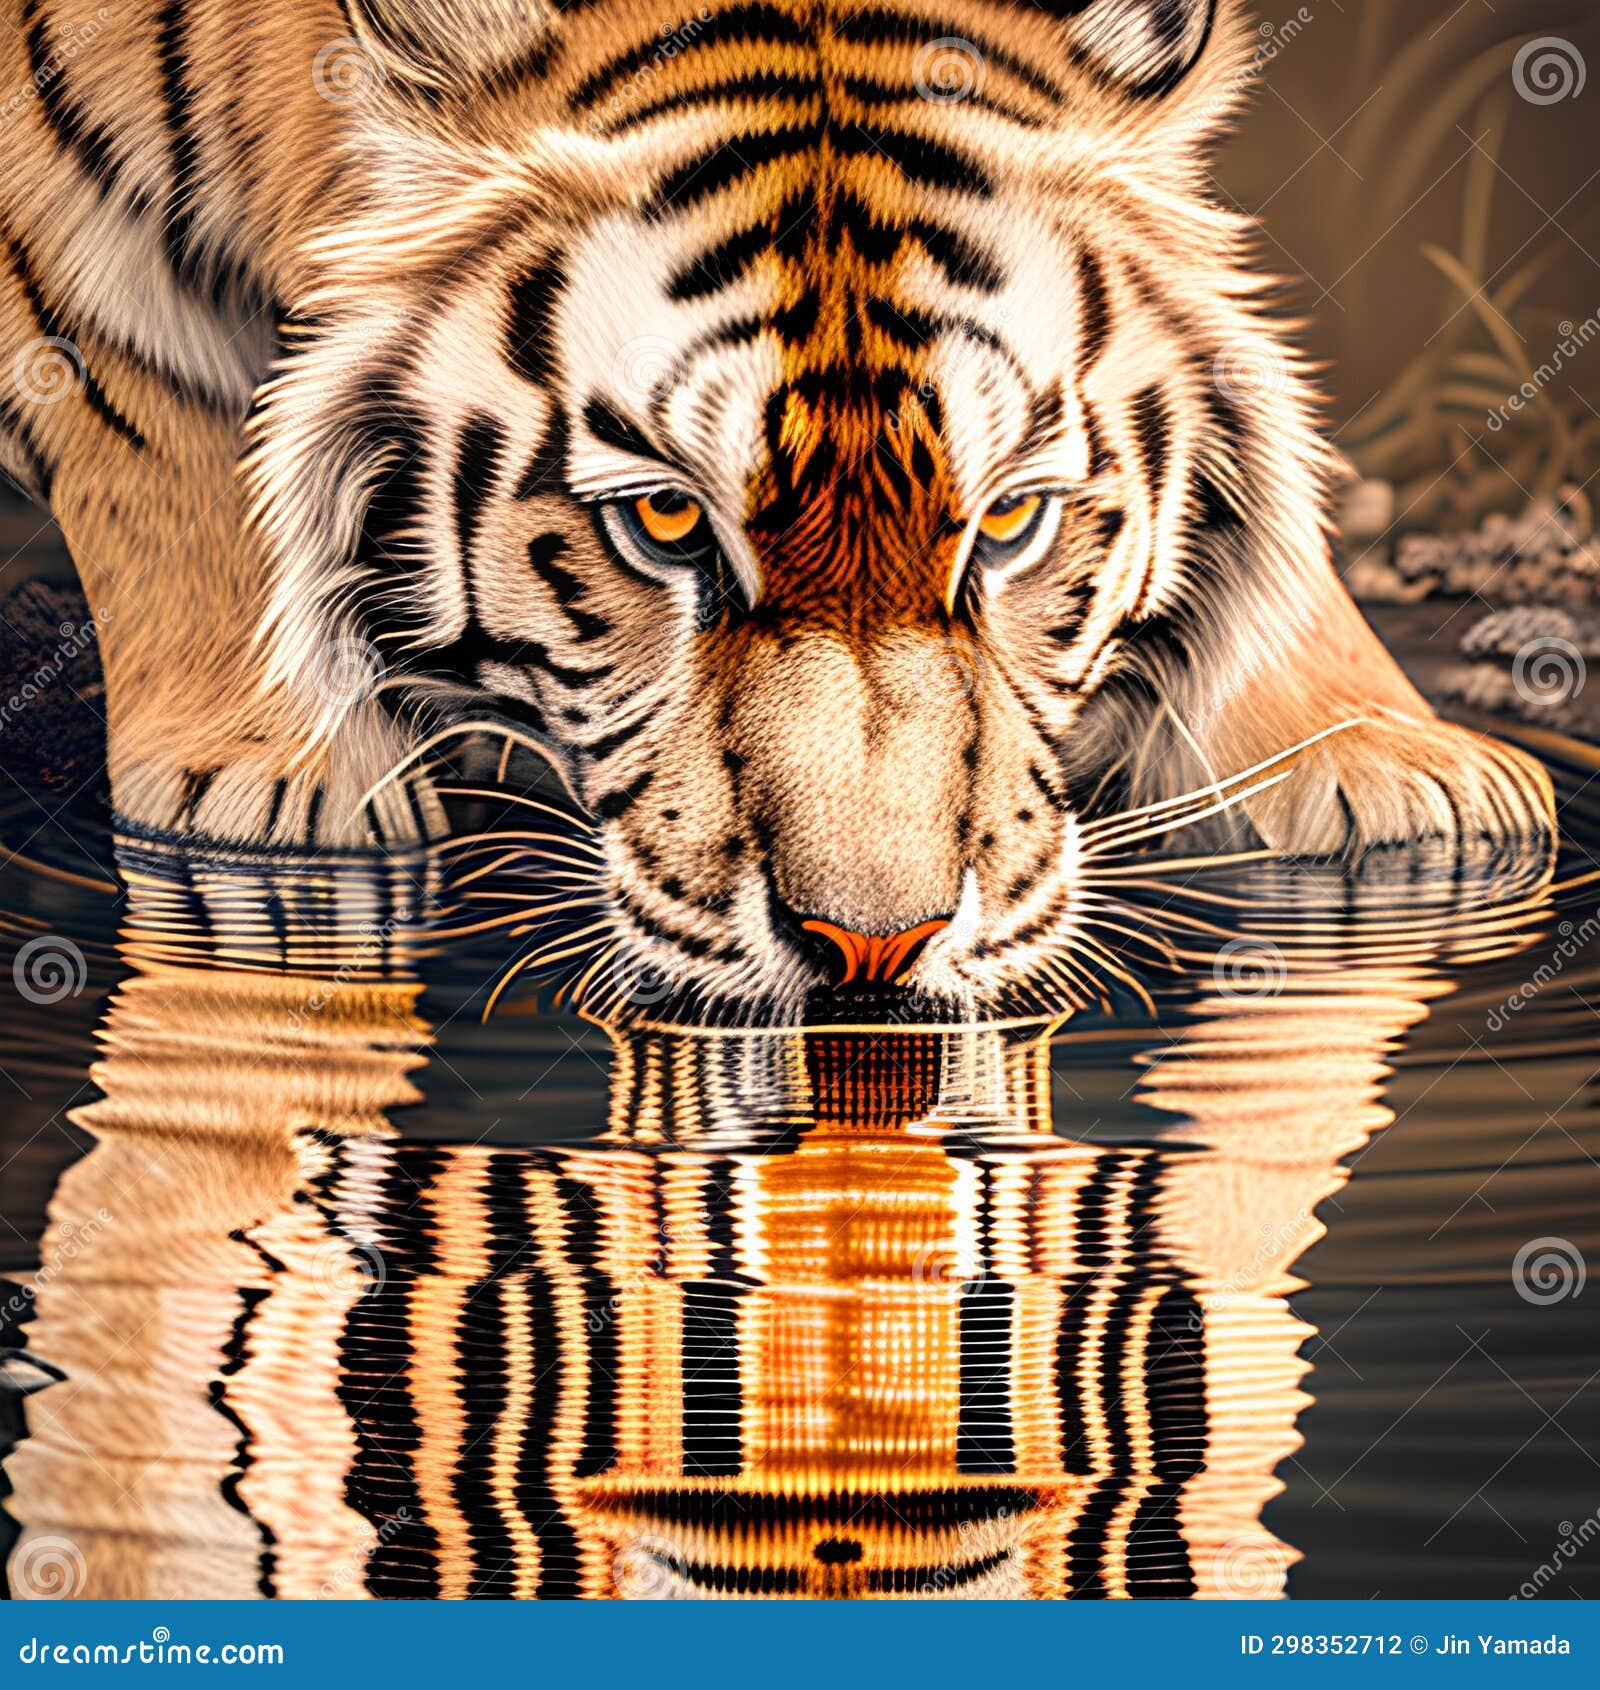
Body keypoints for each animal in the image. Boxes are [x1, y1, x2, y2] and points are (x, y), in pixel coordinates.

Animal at [0, 0, 1555, 1020]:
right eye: (667, 524)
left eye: (1009, 523)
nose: (874, 953)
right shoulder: (75, 244)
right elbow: (165, 451)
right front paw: (285, 767)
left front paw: (1387, 758)